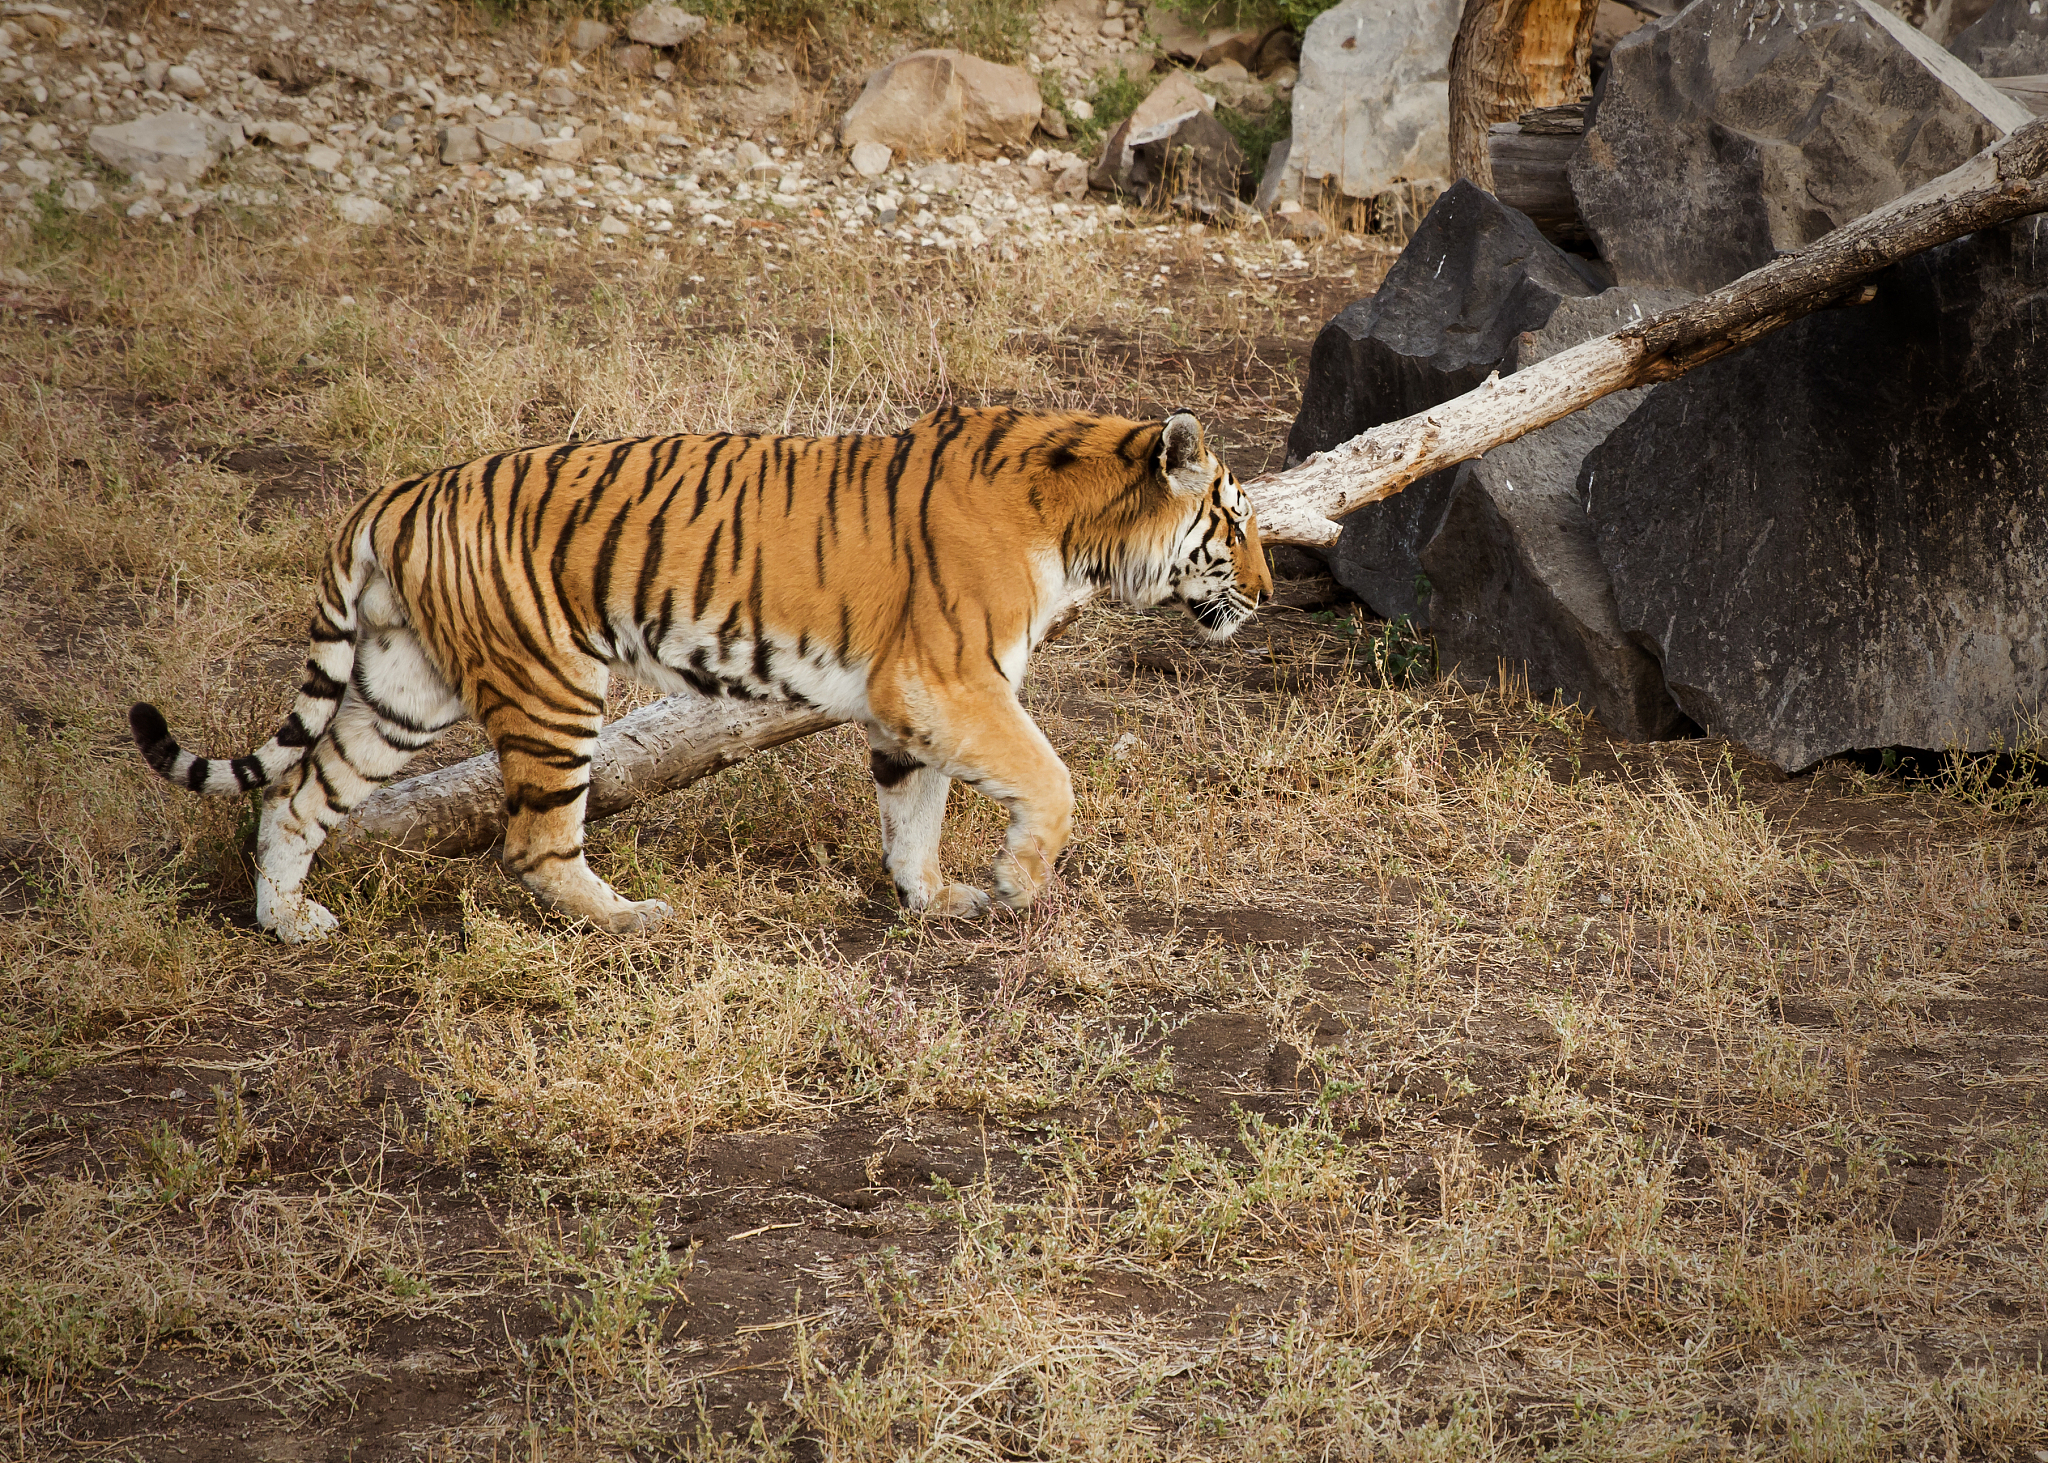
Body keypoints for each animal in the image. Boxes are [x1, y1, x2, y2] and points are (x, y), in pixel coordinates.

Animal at [129, 406, 1271, 943]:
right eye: (1234, 522)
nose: (1265, 590)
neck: (1081, 533)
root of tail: (399, 491)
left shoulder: (907, 706)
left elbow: (914, 809)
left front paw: (931, 898)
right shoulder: (949, 682)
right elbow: (1048, 777)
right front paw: (1017, 881)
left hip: (401, 688)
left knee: (293, 795)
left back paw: (287, 921)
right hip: (553, 687)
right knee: (533, 841)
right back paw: (629, 919)